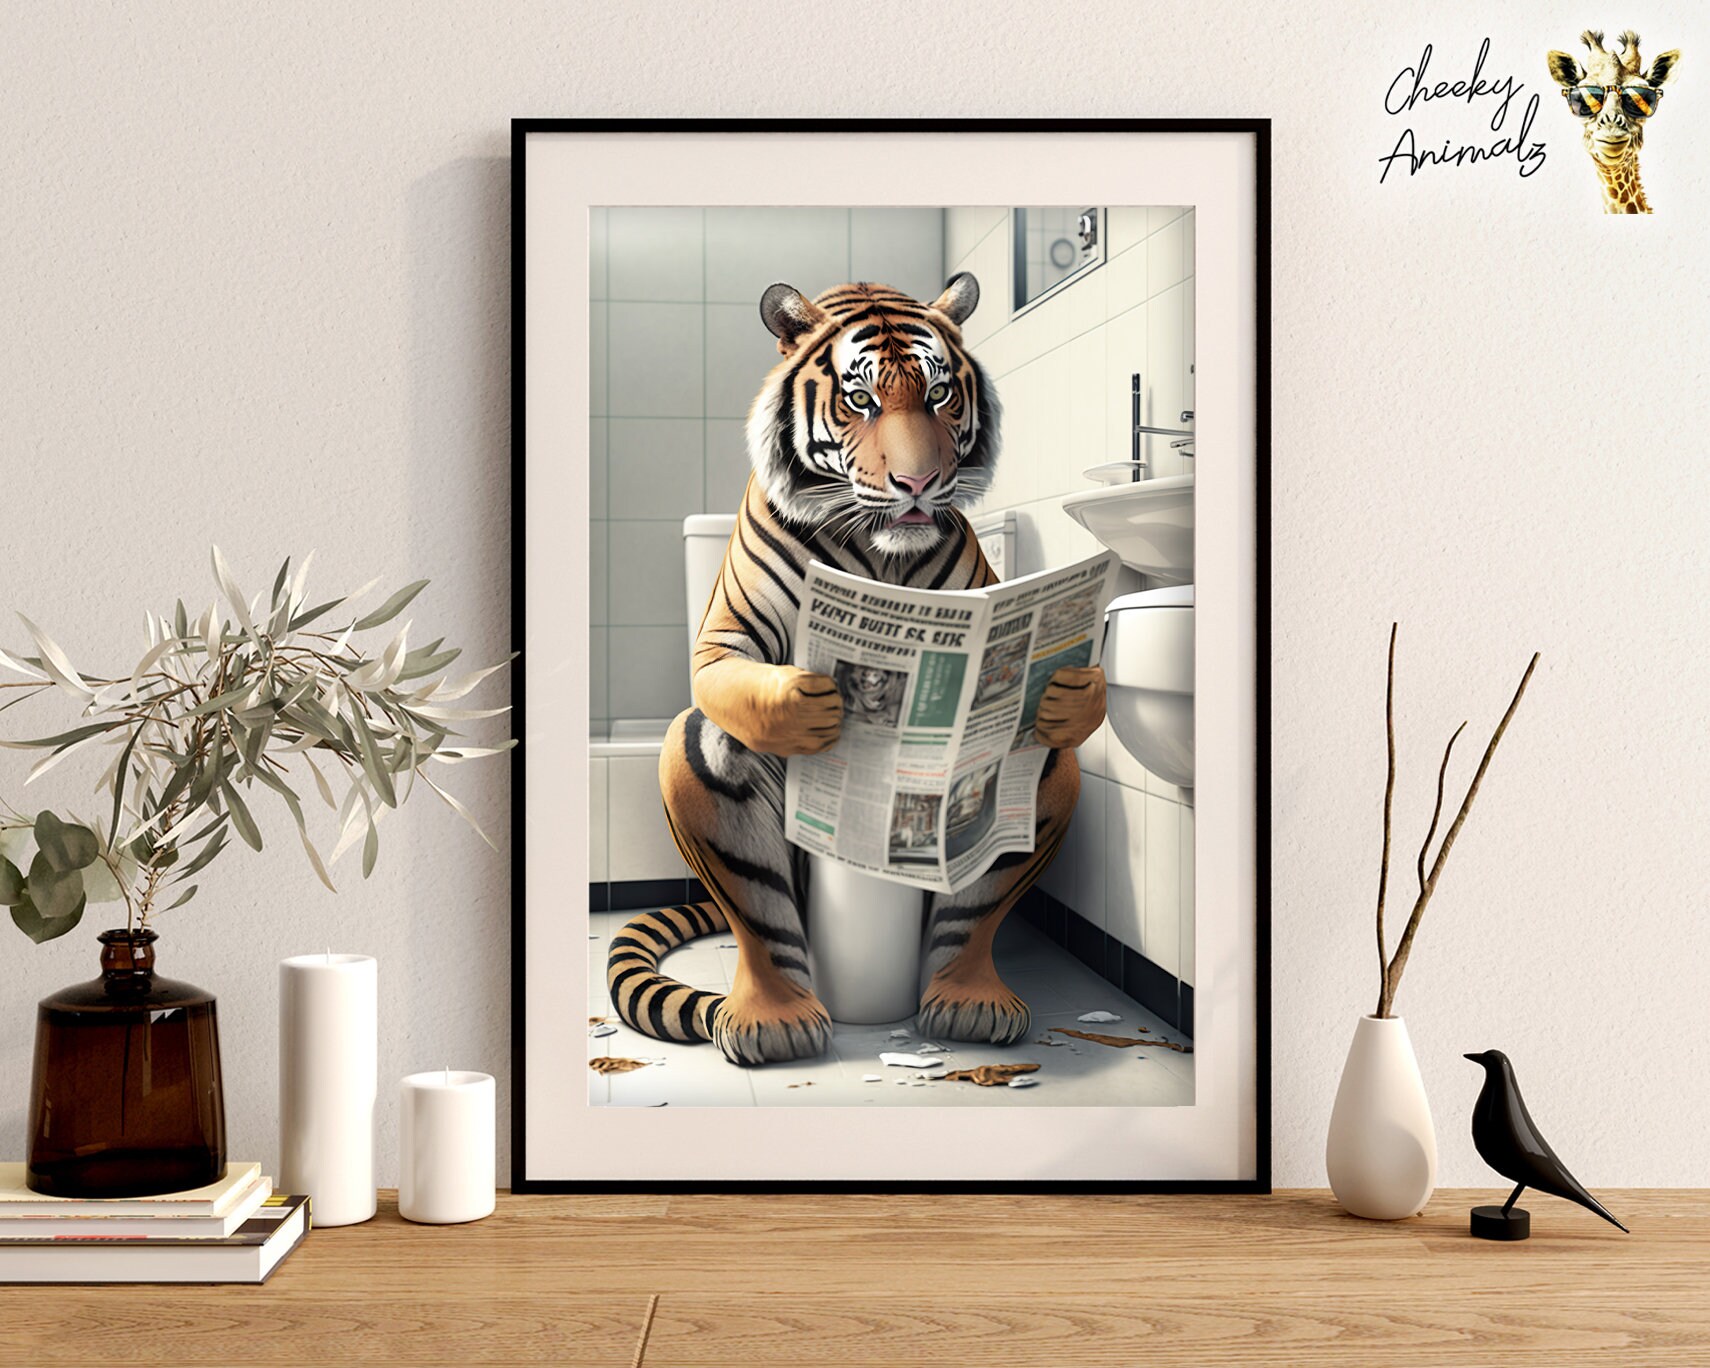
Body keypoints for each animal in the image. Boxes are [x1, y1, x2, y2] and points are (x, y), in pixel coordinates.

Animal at [605, 275, 1107, 1066]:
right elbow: (727, 673)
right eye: (861, 399)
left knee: (971, 911)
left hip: (1017, 785)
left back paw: (968, 1003)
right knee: (765, 918)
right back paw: (775, 1020)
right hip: (711, 769)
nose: (918, 482)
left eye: (939, 394)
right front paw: (807, 703)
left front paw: (1070, 692)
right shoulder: (726, 642)